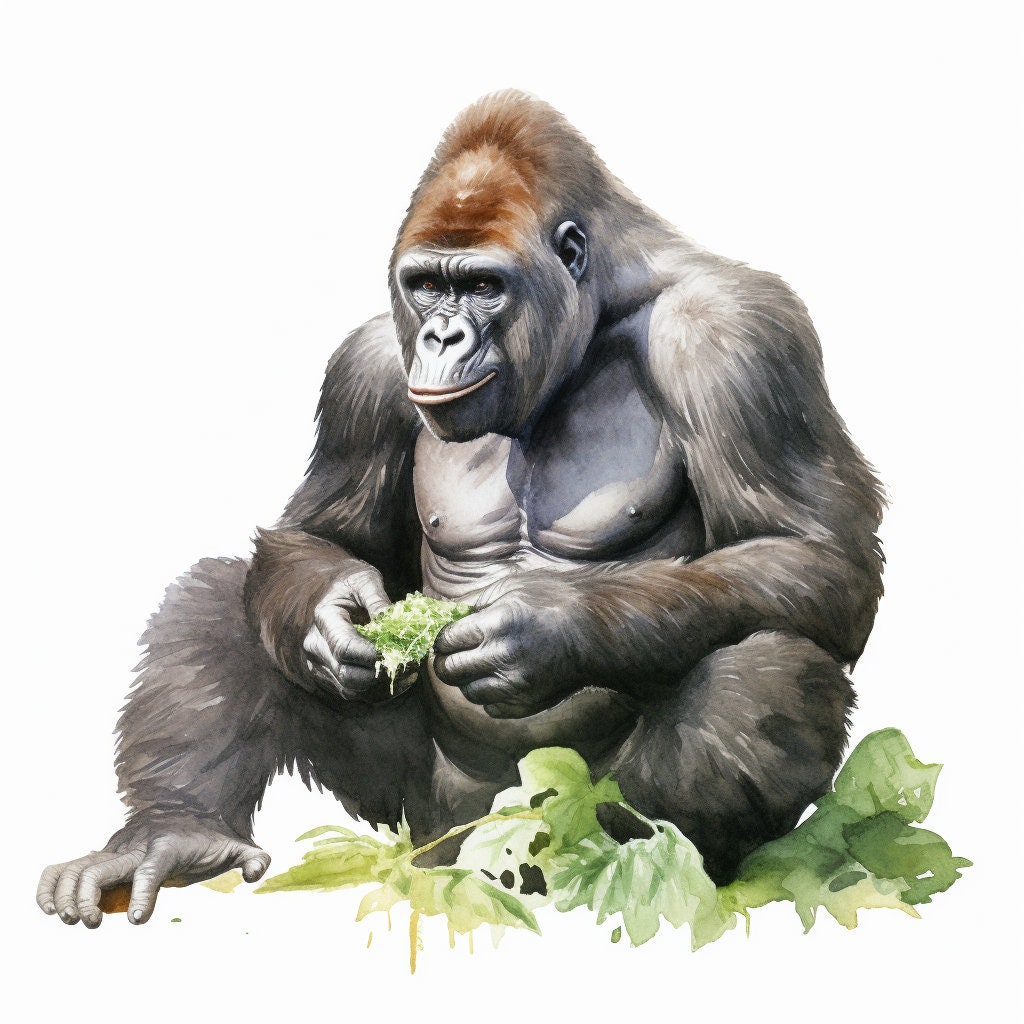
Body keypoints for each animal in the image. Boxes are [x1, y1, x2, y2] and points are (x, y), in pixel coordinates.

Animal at [38, 90, 883, 928]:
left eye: (482, 286)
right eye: (426, 286)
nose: (441, 337)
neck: (600, 305)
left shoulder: (737, 335)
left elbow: (815, 555)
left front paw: (549, 629)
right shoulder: (368, 362)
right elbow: (318, 535)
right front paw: (330, 623)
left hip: (528, 818)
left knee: (765, 666)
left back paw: (648, 870)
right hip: (425, 817)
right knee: (224, 595)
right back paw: (177, 836)